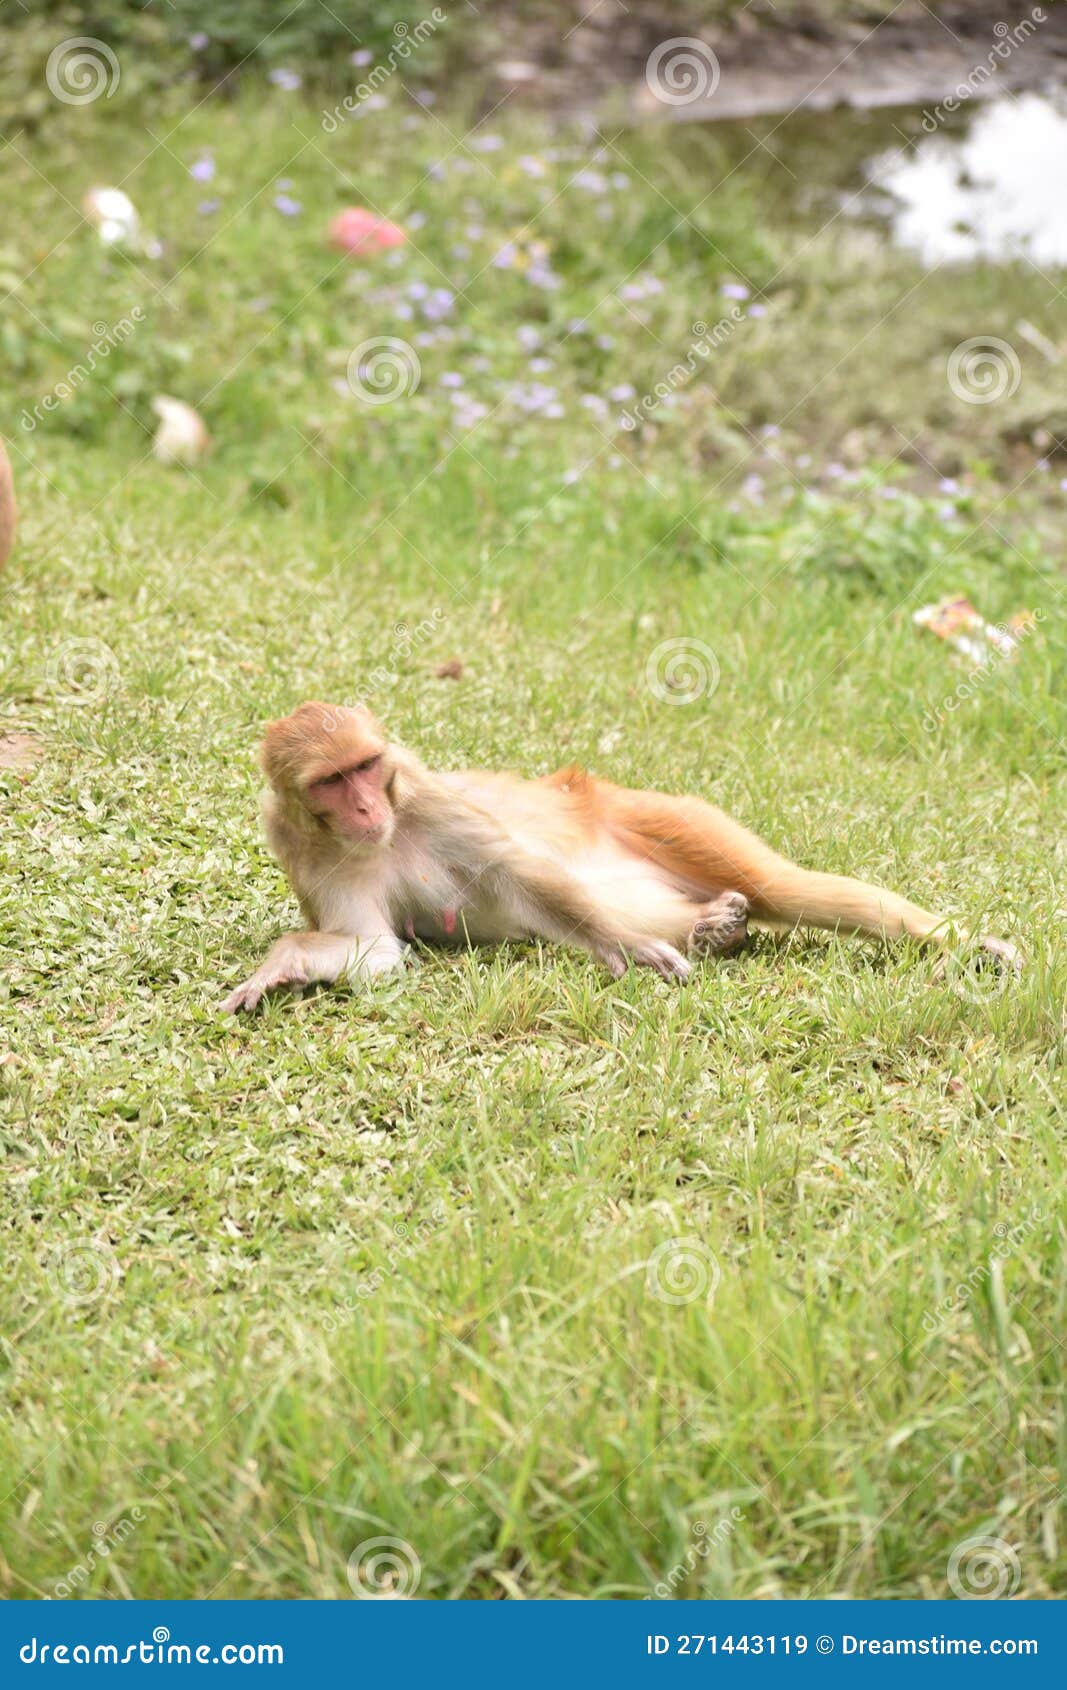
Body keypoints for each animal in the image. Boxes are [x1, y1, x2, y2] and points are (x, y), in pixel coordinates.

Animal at [221, 700, 1019, 1012]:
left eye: (365, 766)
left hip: (665, 818)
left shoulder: (421, 794)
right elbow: (376, 951)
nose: (364, 808)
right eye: (330, 781)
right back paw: (713, 927)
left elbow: (518, 874)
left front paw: (625, 951)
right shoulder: (303, 850)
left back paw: (954, 942)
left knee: (782, 884)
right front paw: (282, 965)